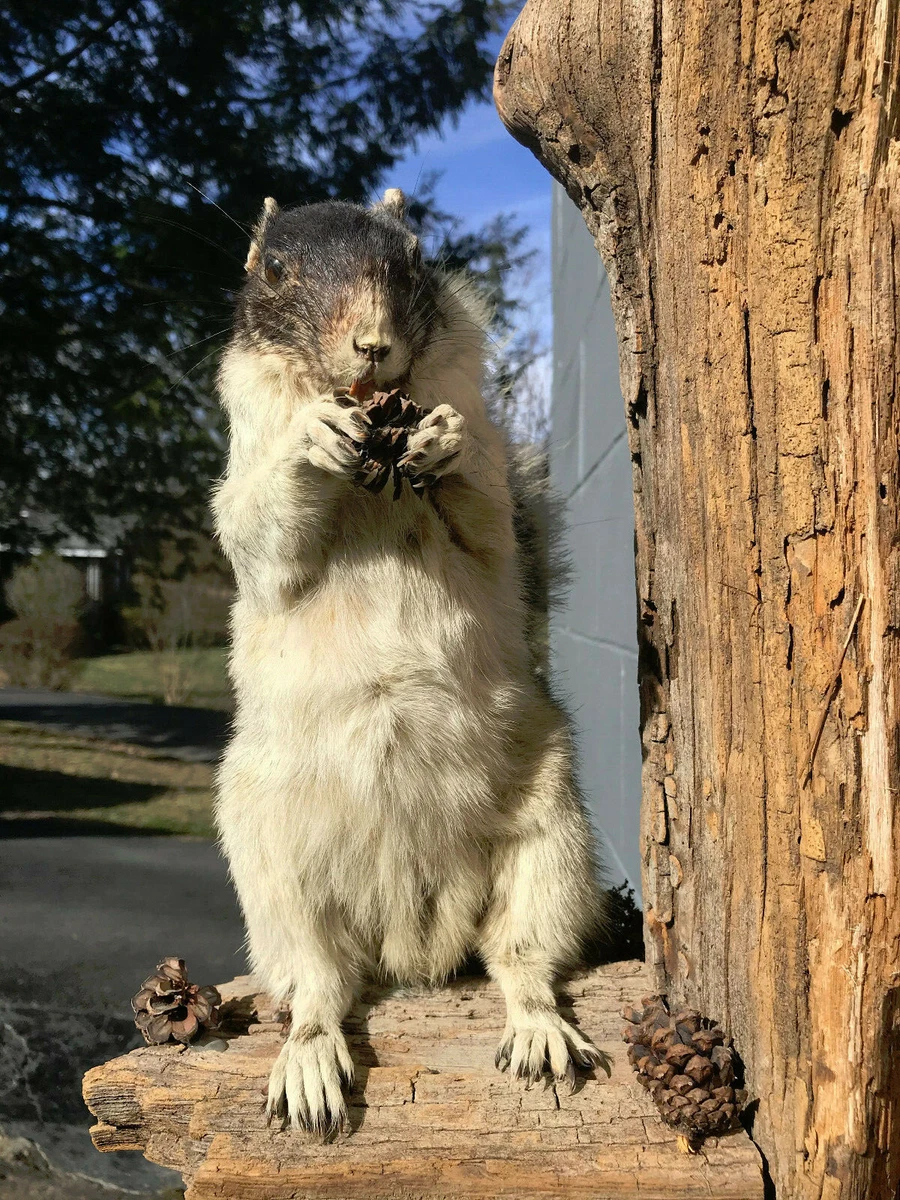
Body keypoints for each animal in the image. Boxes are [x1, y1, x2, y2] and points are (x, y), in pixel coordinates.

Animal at [212, 188, 608, 1136]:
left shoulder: (495, 510)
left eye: (413, 259)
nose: (372, 345)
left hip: (553, 839)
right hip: (270, 869)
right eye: (272, 269)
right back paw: (310, 1061)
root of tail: (414, 938)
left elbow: (491, 521)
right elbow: (261, 532)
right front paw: (313, 438)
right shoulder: (245, 483)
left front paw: (443, 441)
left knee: (522, 960)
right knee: (318, 986)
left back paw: (538, 1029)